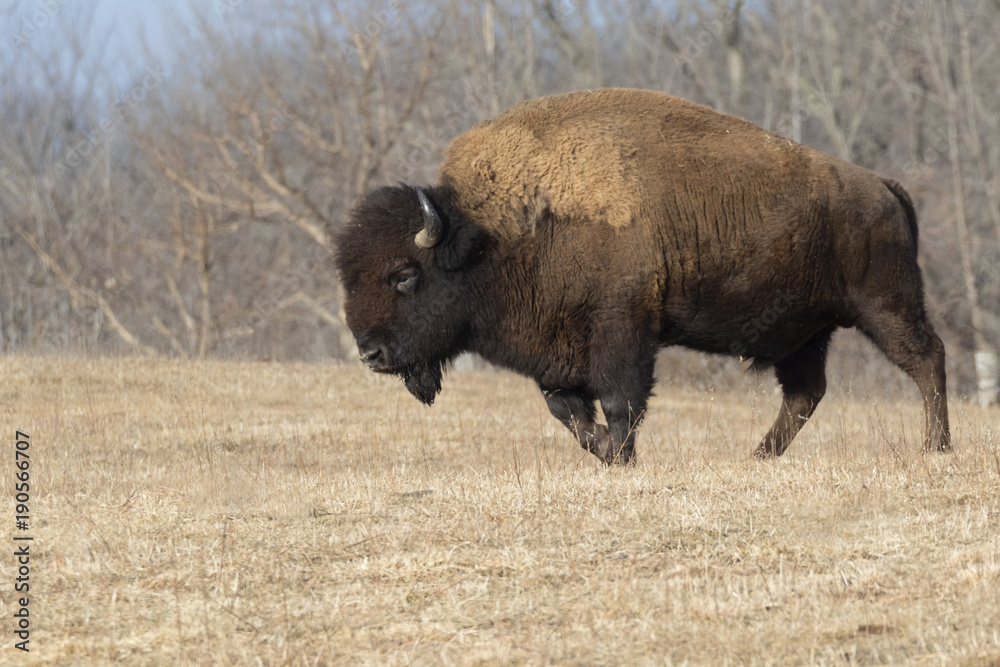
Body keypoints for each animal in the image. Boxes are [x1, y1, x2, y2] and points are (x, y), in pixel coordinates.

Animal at [335, 88, 950, 465]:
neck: (492, 230)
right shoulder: (554, 353)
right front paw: (607, 454)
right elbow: (569, 413)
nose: (371, 355)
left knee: (926, 358)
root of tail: (883, 186)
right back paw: (756, 457)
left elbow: (619, 403)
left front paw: (623, 459)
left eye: (403, 275)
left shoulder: (622, 331)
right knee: (805, 392)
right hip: (805, 331)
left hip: (884, 304)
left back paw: (937, 448)